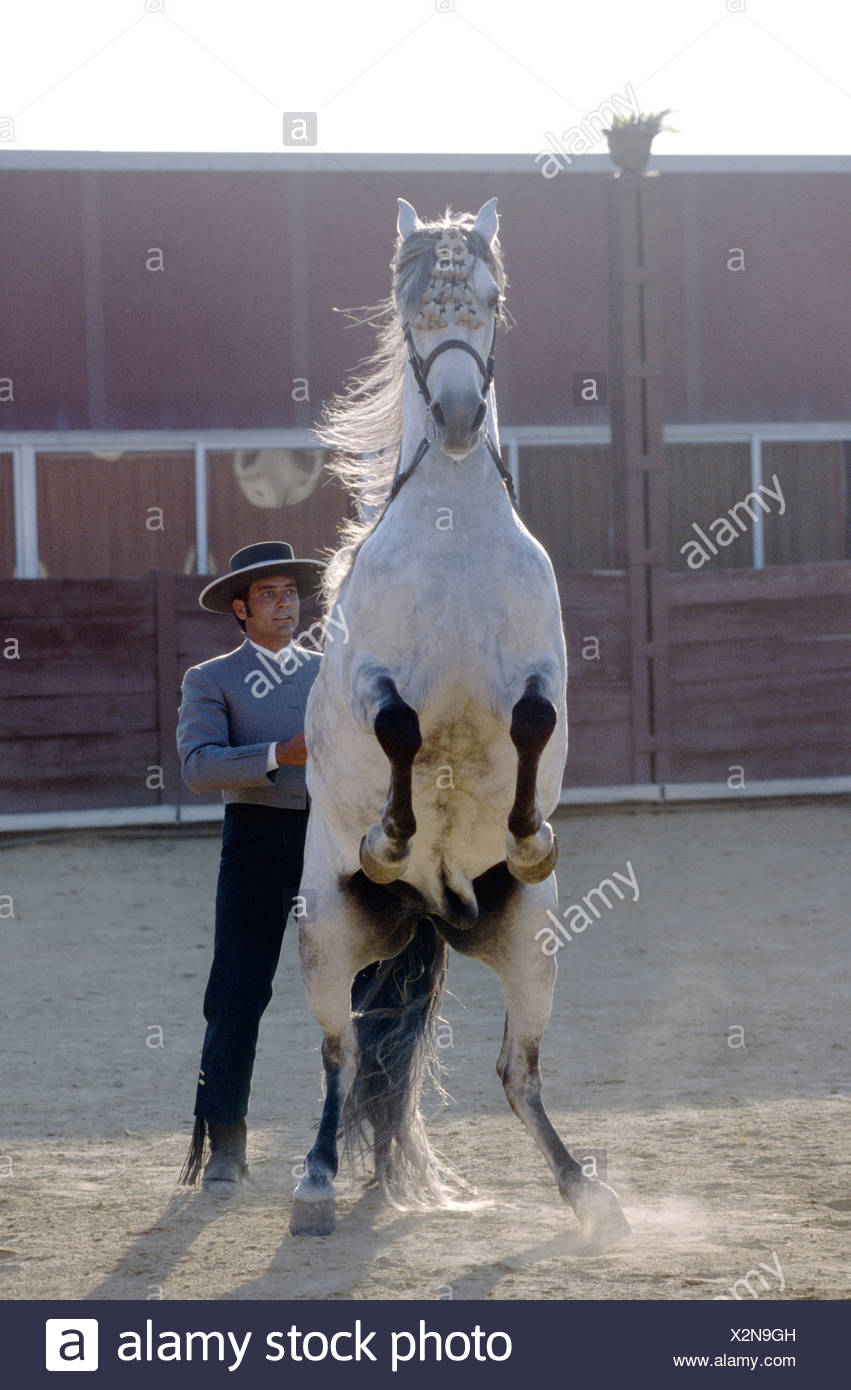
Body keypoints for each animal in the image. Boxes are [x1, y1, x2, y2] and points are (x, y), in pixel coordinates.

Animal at [290, 196, 630, 1248]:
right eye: (413, 312)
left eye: (487, 305)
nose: (452, 415)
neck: (453, 536)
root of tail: (432, 915)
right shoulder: (372, 680)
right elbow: (401, 731)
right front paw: (391, 833)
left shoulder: (541, 675)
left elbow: (532, 720)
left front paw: (526, 835)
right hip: (326, 937)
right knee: (339, 1058)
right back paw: (315, 1185)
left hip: (531, 948)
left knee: (514, 1076)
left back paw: (587, 1194)